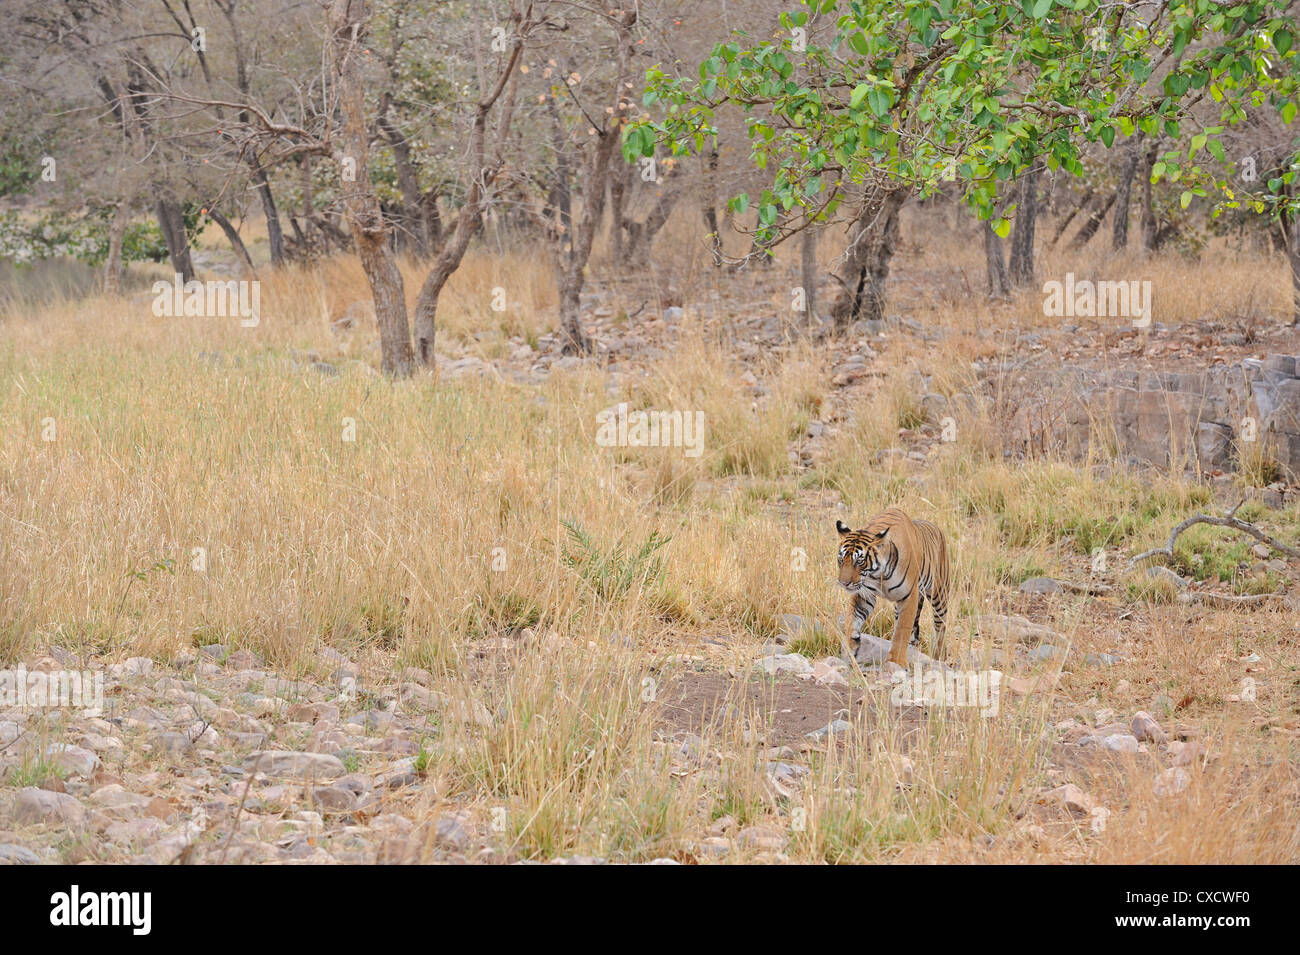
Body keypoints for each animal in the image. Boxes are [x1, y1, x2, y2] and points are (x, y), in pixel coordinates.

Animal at [836, 507, 950, 666]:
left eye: (859, 561)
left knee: (940, 627)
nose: (843, 583)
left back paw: (937, 657)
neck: (879, 575)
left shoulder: (909, 597)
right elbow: (851, 619)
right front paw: (851, 645)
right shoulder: (864, 594)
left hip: (939, 594)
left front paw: (896, 662)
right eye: (841, 560)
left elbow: (901, 630)